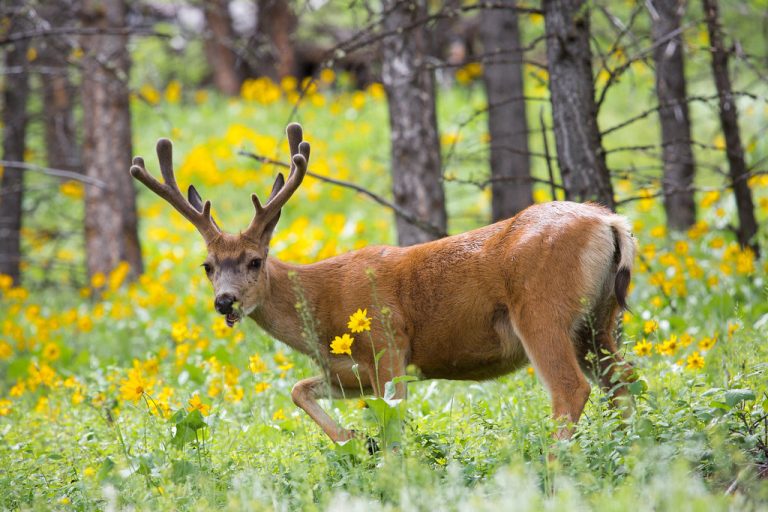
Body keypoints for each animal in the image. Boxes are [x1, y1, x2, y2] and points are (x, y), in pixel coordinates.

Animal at [129, 123, 638, 443]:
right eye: (207, 266)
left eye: (255, 261)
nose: (225, 302)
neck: (321, 308)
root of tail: (611, 222)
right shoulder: (348, 371)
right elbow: (298, 390)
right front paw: (352, 438)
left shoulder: (388, 345)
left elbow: (393, 425)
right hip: (598, 320)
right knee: (624, 382)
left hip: (541, 310)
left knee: (571, 390)